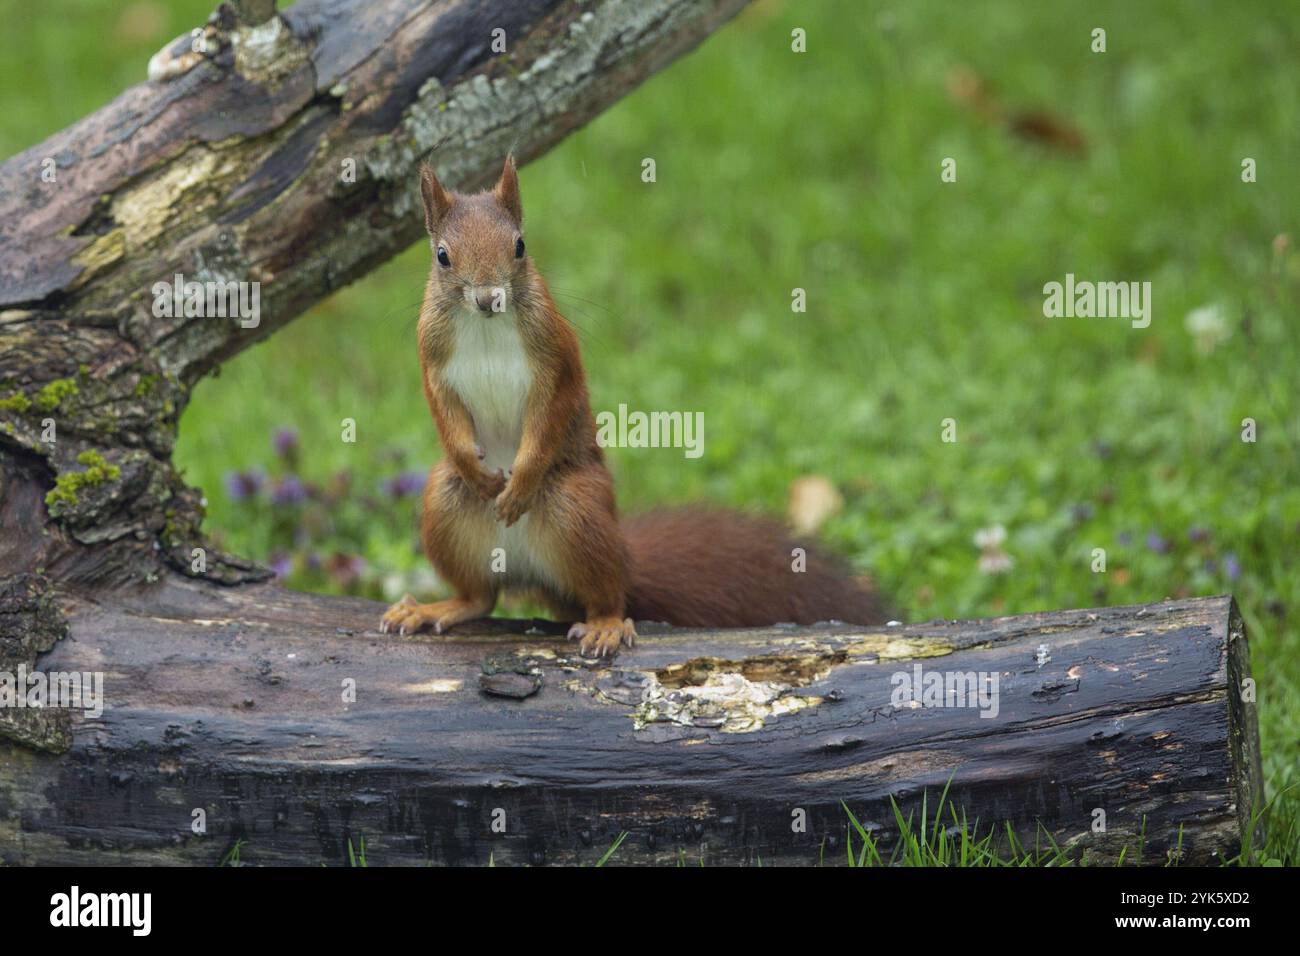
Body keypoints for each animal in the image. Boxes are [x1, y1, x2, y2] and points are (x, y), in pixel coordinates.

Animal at [379, 156, 886, 657]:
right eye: (442, 255)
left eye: (520, 246)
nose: (488, 298)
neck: (484, 327)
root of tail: (528, 569)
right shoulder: (432, 360)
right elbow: (442, 410)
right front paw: (477, 467)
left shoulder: (557, 356)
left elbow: (552, 412)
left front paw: (519, 483)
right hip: (445, 503)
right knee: (480, 596)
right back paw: (434, 608)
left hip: (577, 507)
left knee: (608, 595)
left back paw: (604, 624)